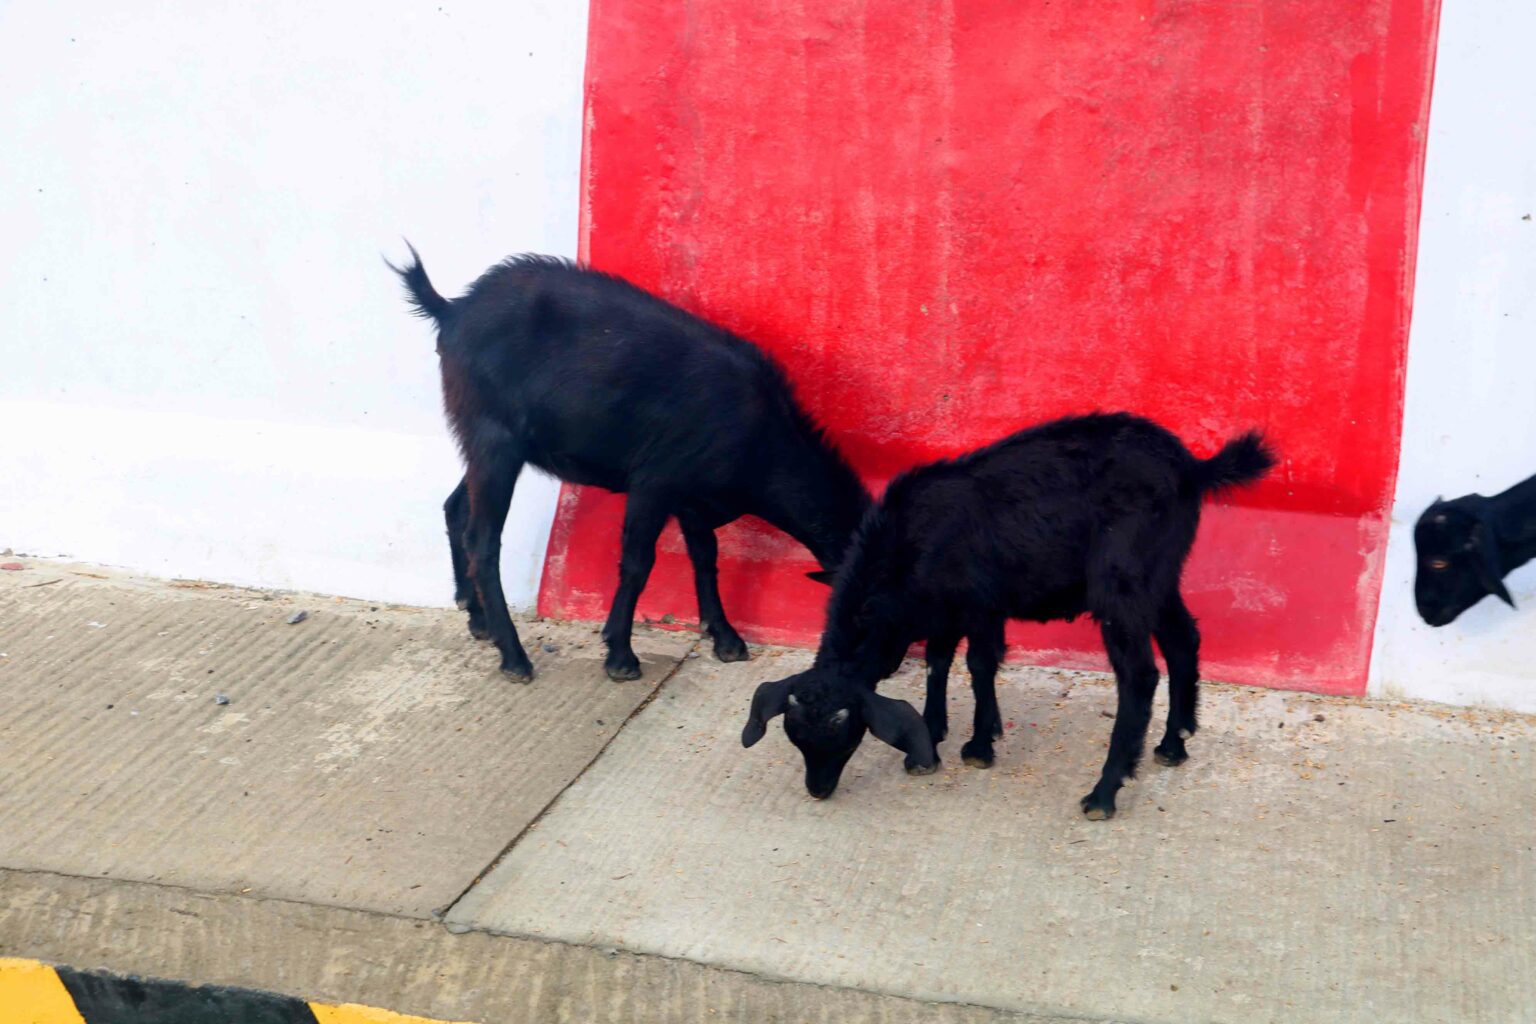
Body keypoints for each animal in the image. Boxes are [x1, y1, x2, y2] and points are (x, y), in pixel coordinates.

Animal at [390, 245, 871, 681]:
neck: (761, 436)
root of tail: (452, 310)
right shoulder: (656, 481)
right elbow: (639, 563)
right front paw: (620, 655)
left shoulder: (691, 498)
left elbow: (705, 557)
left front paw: (725, 637)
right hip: (496, 442)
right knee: (484, 540)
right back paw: (513, 656)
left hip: (485, 444)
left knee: (456, 509)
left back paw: (477, 618)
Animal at [741, 412, 1274, 818]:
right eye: (796, 737)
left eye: (844, 734)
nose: (818, 790)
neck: (907, 545)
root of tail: (1193, 468)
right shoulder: (946, 611)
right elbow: (938, 661)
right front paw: (939, 728)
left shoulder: (979, 604)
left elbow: (978, 665)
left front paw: (979, 746)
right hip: (1160, 576)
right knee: (1184, 640)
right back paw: (1174, 744)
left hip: (1122, 582)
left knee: (1139, 677)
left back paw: (1104, 791)